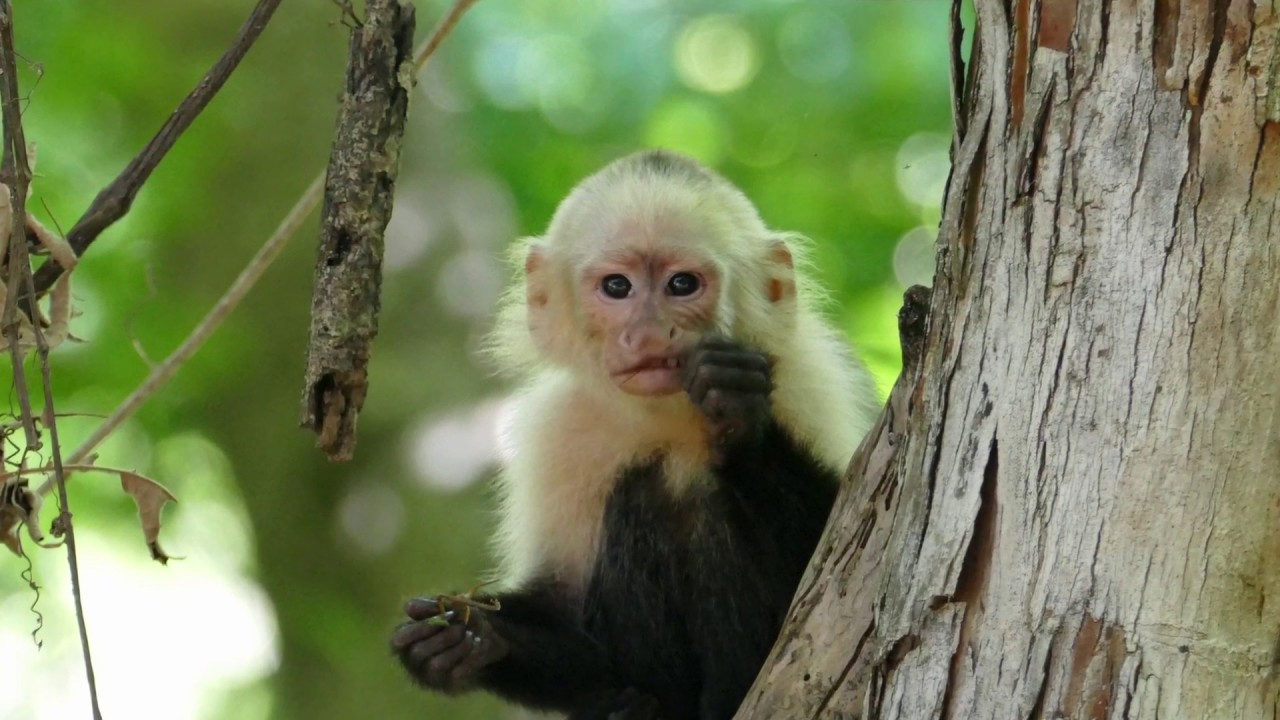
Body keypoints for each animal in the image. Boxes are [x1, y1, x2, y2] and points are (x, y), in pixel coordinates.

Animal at [392, 149, 878, 720]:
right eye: (617, 287)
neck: (665, 415)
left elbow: (835, 570)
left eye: (682, 284)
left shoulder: (802, 377)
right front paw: (473, 640)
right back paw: (640, 706)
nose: (647, 332)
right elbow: (564, 606)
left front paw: (740, 419)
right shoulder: (559, 428)